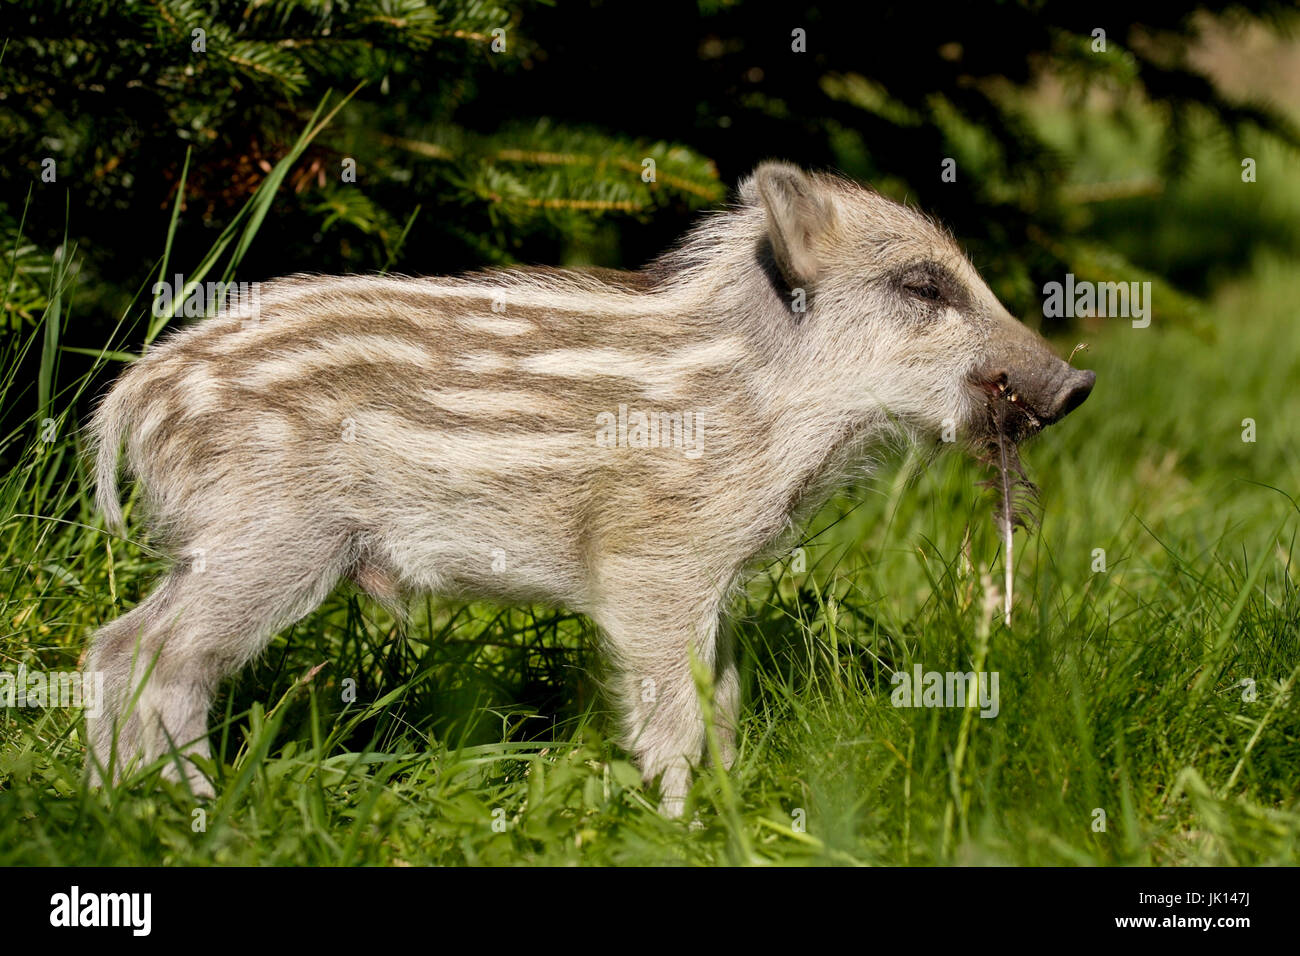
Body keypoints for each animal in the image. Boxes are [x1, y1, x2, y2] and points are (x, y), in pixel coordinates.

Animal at [83, 161, 1094, 815]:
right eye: (923, 286)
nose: (1076, 384)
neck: (767, 398)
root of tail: (135, 399)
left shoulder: (712, 575)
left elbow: (723, 692)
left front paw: (732, 801)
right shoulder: (654, 561)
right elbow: (673, 702)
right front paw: (684, 821)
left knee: (126, 648)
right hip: (271, 541)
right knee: (144, 654)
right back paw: (191, 808)